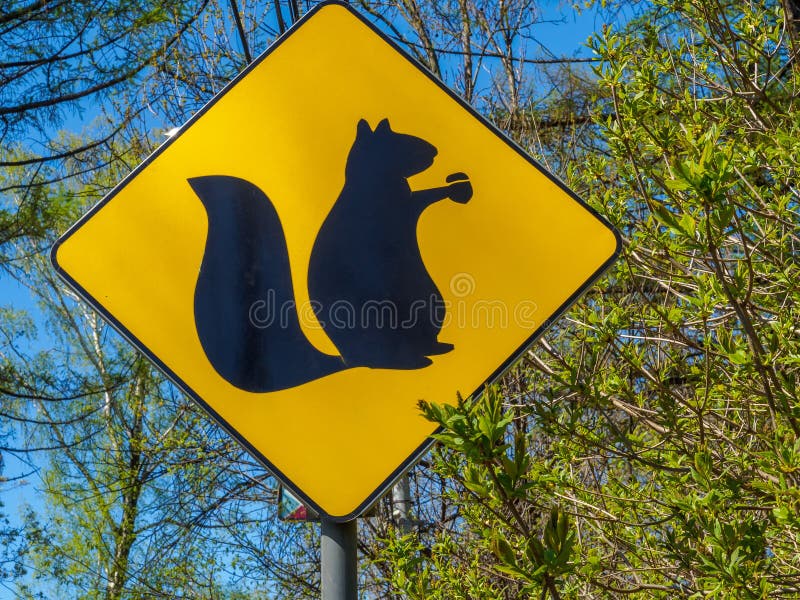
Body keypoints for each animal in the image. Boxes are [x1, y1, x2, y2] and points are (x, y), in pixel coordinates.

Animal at [189, 118, 472, 393]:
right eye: (401, 140)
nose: (434, 151)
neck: (373, 176)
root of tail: (347, 360)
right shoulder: (401, 203)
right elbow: (422, 199)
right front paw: (453, 189)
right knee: (386, 361)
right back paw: (415, 362)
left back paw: (438, 349)